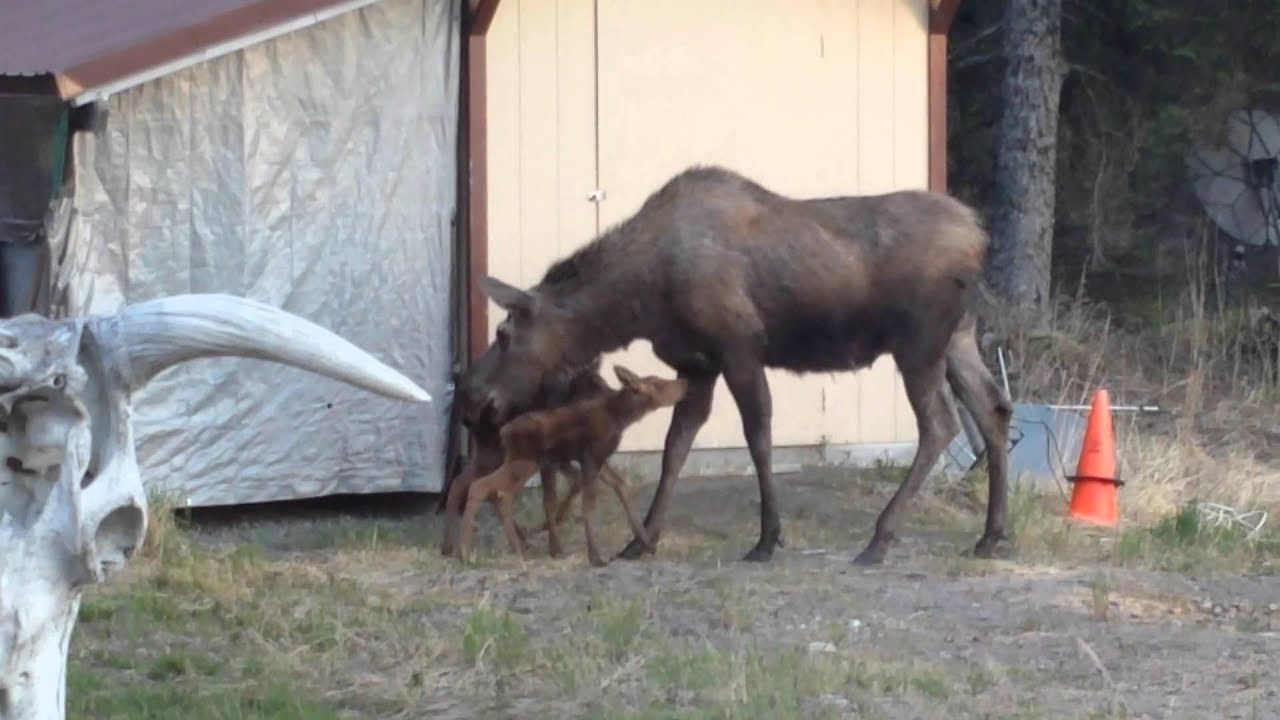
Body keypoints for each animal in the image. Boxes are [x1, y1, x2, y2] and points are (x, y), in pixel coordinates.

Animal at [455, 365, 688, 567]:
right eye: (660, 384)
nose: (683, 384)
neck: (620, 419)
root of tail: (504, 432)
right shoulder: (592, 456)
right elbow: (589, 503)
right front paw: (595, 557)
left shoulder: (598, 459)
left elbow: (621, 486)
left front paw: (647, 543)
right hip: (524, 461)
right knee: (486, 488)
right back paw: (468, 551)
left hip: (520, 462)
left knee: (493, 490)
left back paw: (508, 547)